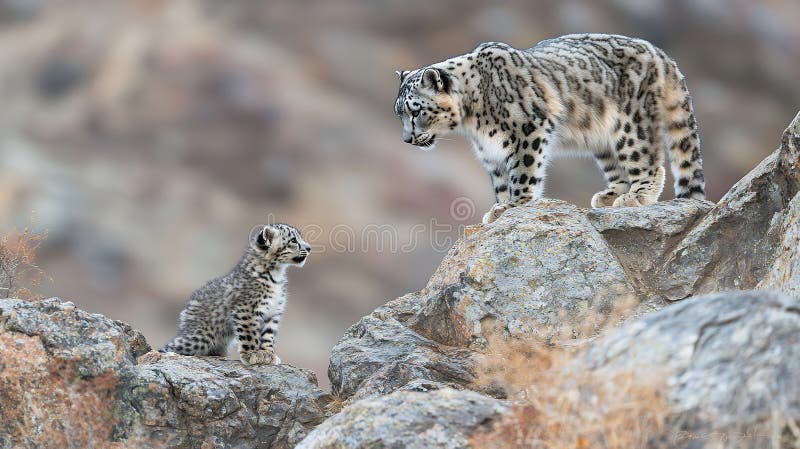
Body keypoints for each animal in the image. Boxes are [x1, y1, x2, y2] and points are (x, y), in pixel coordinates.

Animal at [161, 223, 310, 366]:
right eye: (293, 240)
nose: (309, 248)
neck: (277, 276)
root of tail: (184, 314)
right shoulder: (247, 310)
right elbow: (250, 334)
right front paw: (252, 354)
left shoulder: (274, 312)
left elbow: (268, 335)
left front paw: (268, 354)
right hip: (200, 338)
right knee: (170, 347)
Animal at [394, 33, 705, 224]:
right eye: (399, 113)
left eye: (416, 110)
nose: (407, 139)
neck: (474, 122)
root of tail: (658, 53)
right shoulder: (491, 153)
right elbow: (501, 182)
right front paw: (498, 208)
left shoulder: (527, 130)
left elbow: (522, 172)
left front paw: (516, 205)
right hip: (603, 138)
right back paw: (610, 195)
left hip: (631, 124)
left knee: (647, 160)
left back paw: (636, 195)